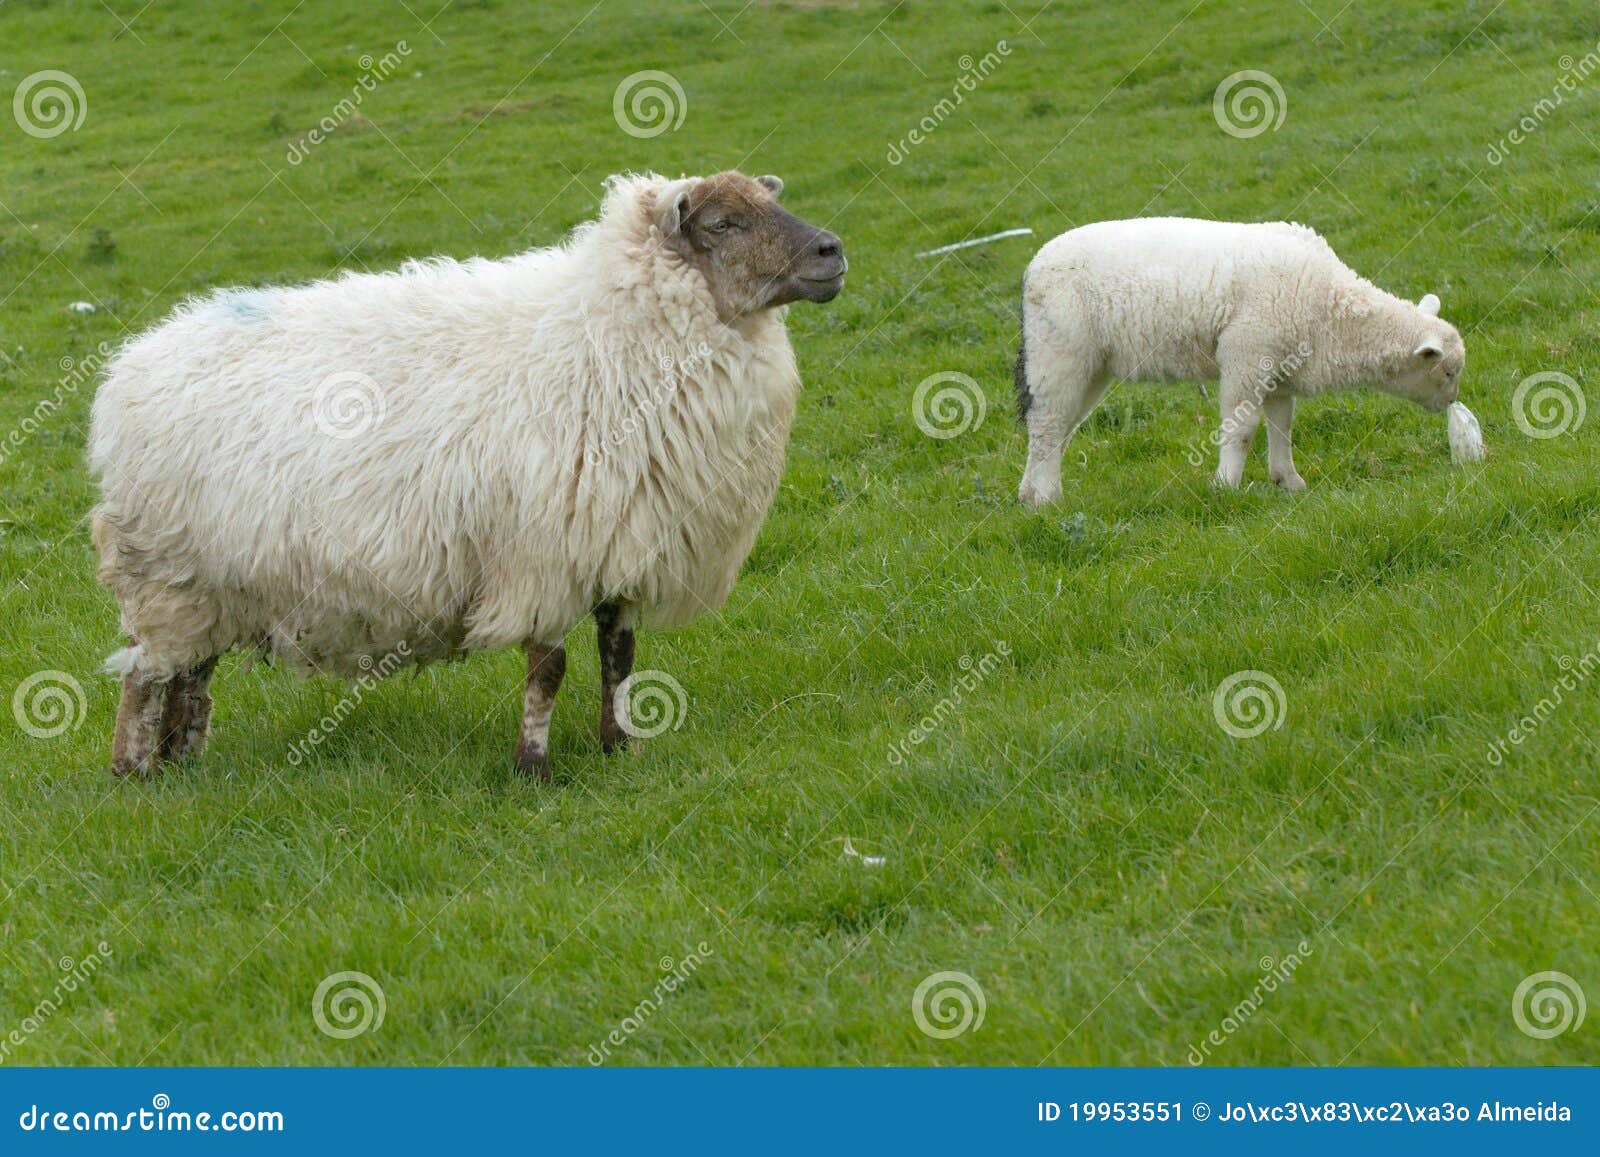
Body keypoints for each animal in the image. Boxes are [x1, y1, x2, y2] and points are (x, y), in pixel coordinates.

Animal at [89, 170, 847, 779]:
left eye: (769, 203)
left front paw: (620, 750)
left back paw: (183, 762)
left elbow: (620, 657)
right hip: (166, 575)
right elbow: (549, 670)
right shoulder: (542, 554)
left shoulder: (619, 542)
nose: (832, 251)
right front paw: (532, 768)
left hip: (212, 582)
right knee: (145, 677)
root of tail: (134, 362)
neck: (605, 335)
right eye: (722, 224)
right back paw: (135, 772)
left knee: (190, 675)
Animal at [1013, 217, 1465, 505]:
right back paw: (1048, 498)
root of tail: (1034, 267)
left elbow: (1282, 425)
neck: (1329, 308)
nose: (1450, 404)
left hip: (1091, 367)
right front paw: (1225, 485)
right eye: (1447, 371)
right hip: (1059, 352)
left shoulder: (1280, 367)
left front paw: (1288, 481)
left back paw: (1030, 494)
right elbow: (1242, 429)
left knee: (1056, 426)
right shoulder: (1248, 355)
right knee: (1048, 422)